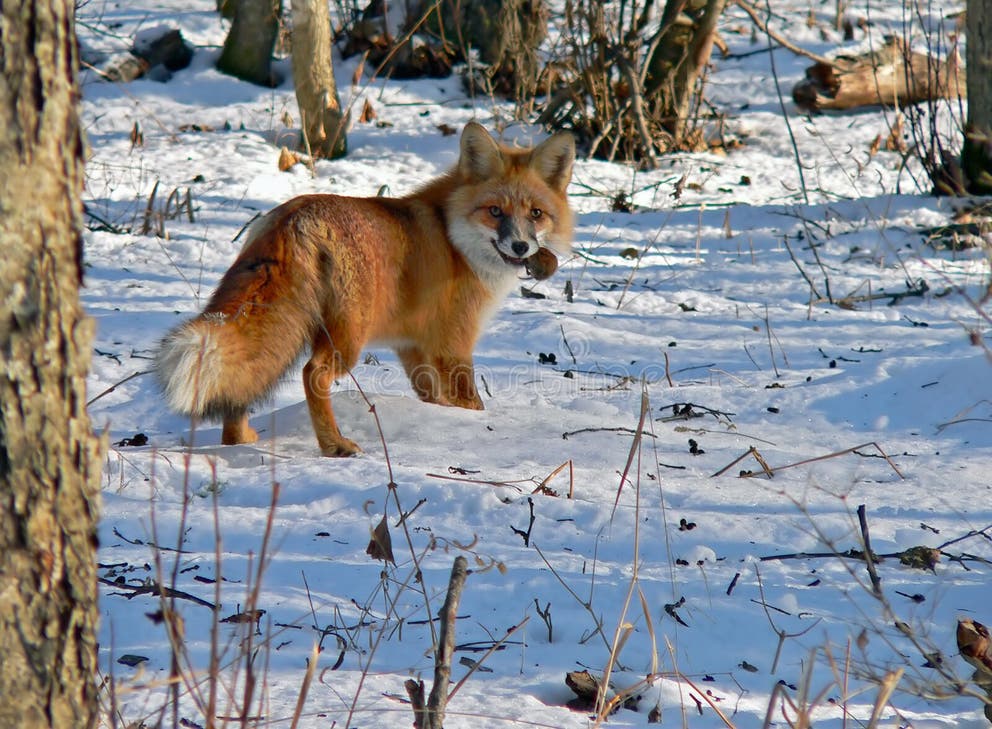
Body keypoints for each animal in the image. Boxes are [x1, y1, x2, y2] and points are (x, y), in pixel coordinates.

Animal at [155, 122, 575, 456]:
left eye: (536, 214)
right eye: (495, 212)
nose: (520, 247)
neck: (453, 239)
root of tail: (295, 215)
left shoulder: (413, 346)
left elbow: (432, 397)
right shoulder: (453, 344)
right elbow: (469, 402)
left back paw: (237, 441)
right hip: (348, 337)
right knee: (312, 373)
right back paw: (334, 444)